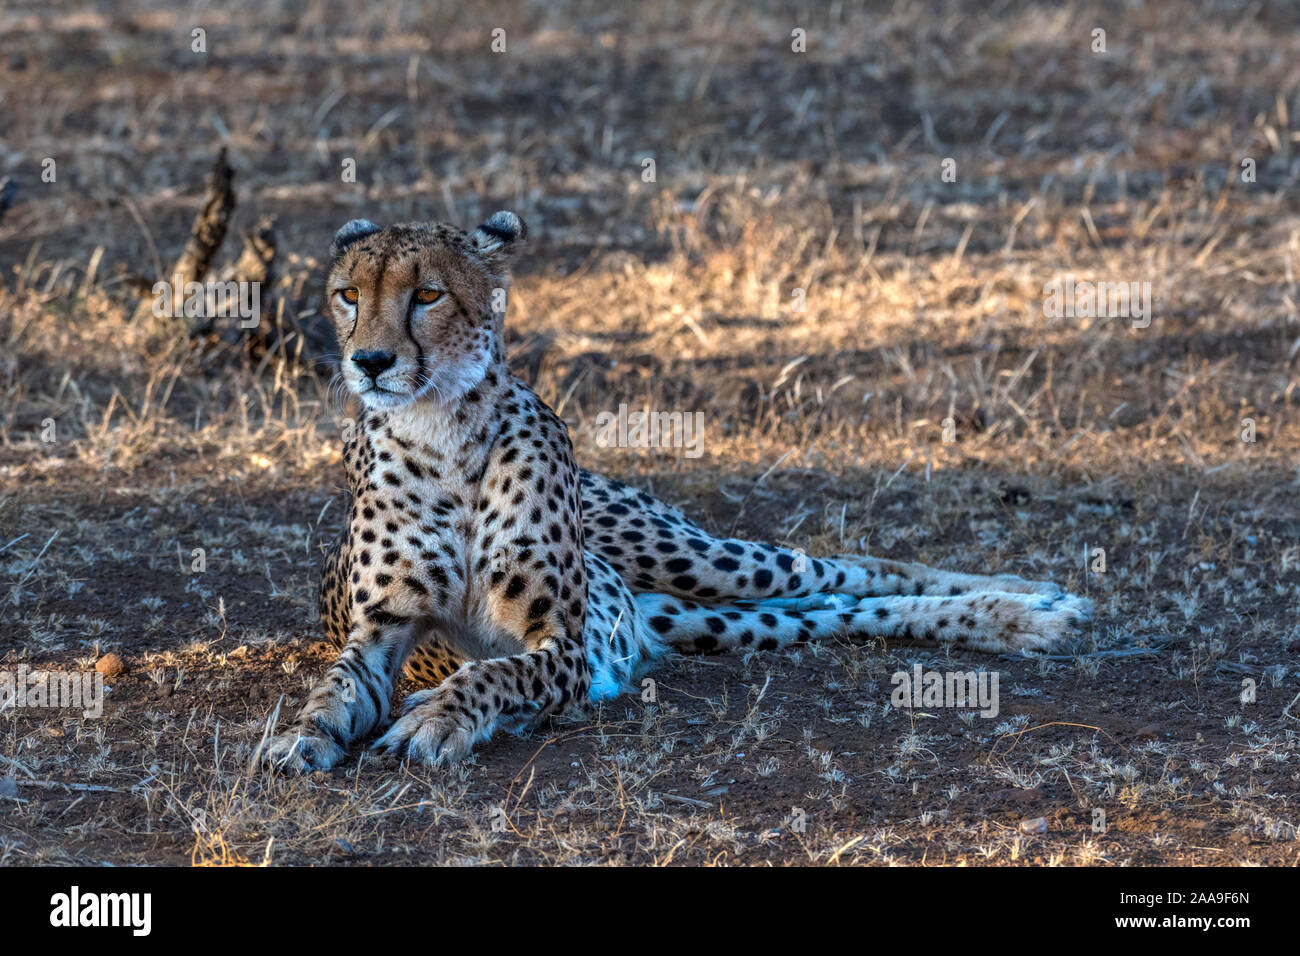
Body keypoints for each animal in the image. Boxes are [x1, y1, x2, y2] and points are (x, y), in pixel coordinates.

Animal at [255, 210, 1092, 772]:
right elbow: (334, 687)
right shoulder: (379, 637)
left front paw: (437, 718)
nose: (369, 361)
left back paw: (1037, 604)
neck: (440, 430)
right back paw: (1032, 616)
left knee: (859, 568)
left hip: (699, 561)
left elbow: (494, 669)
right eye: (348, 294)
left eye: (427, 294)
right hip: (707, 617)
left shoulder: (564, 648)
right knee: (841, 609)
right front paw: (299, 736)